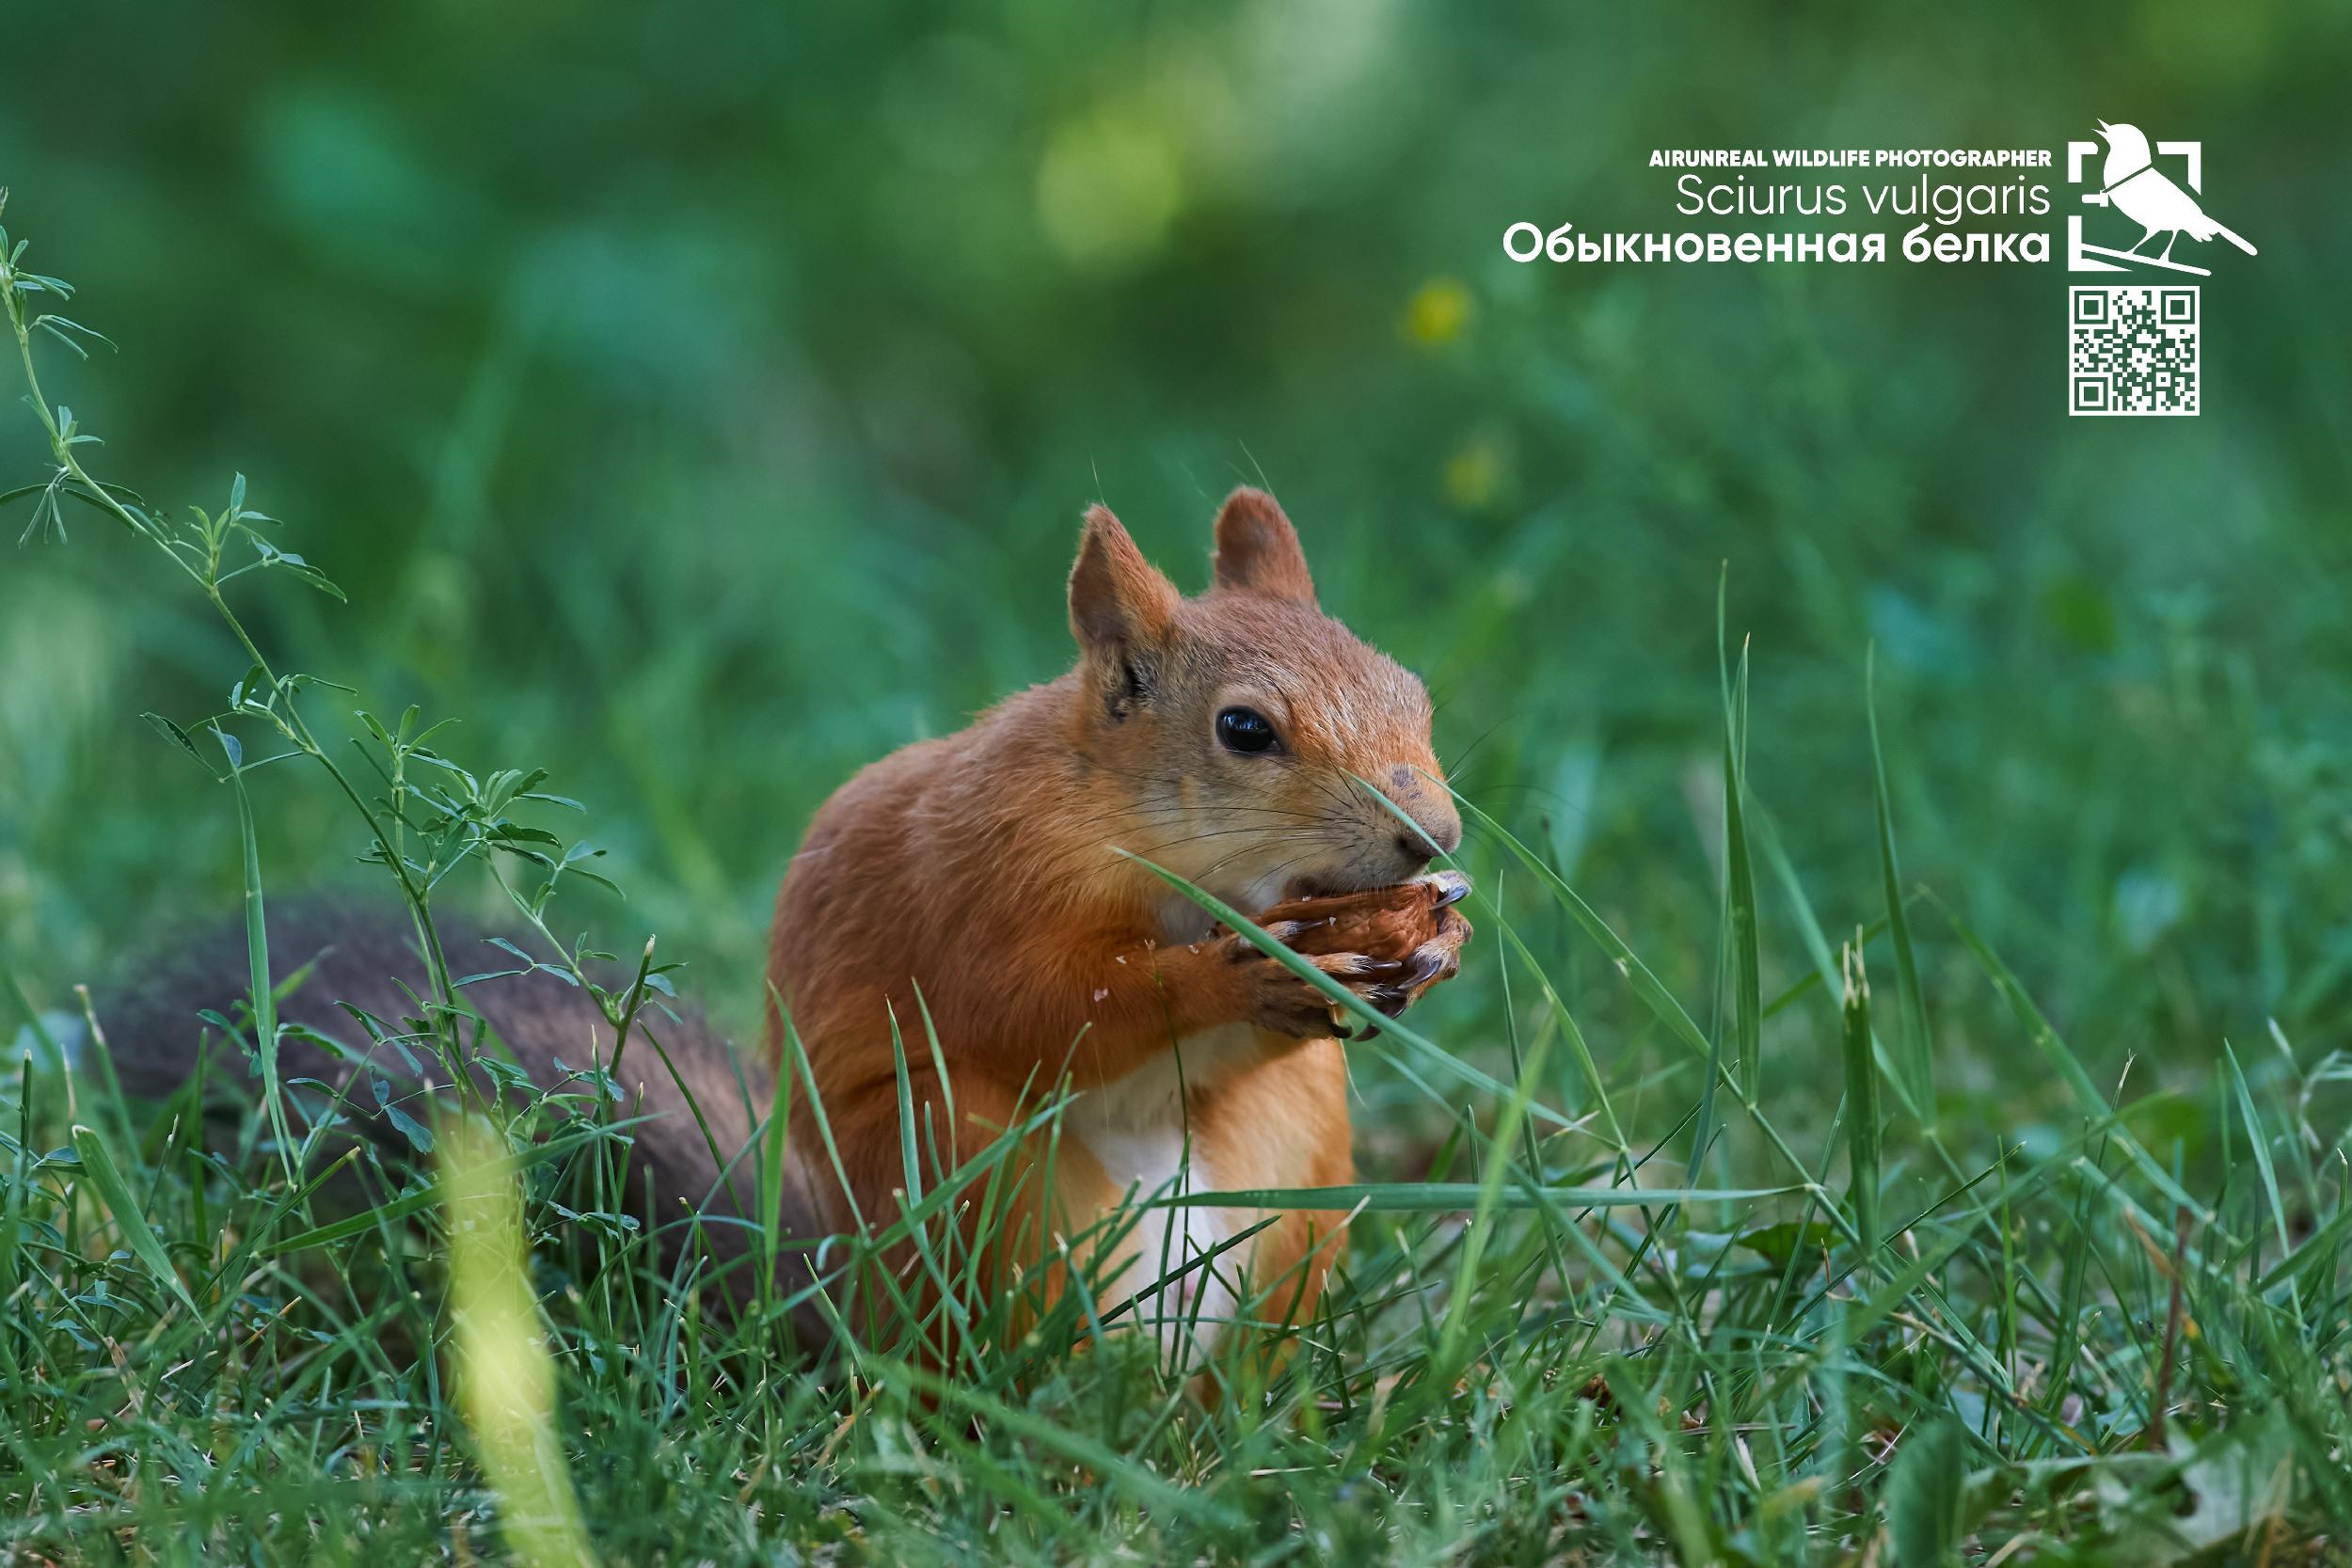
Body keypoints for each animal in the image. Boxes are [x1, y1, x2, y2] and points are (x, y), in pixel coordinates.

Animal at [101, 487, 1470, 1363]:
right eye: (1245, 729)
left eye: (1416, 690)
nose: (1436, 837)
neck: (1189, 870)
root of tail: (845, 1308)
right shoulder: (979, 884)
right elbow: (1043, 1008)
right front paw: (1229, 978)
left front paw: (1419, 954)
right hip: (969, 1183)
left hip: (1298, 1192)